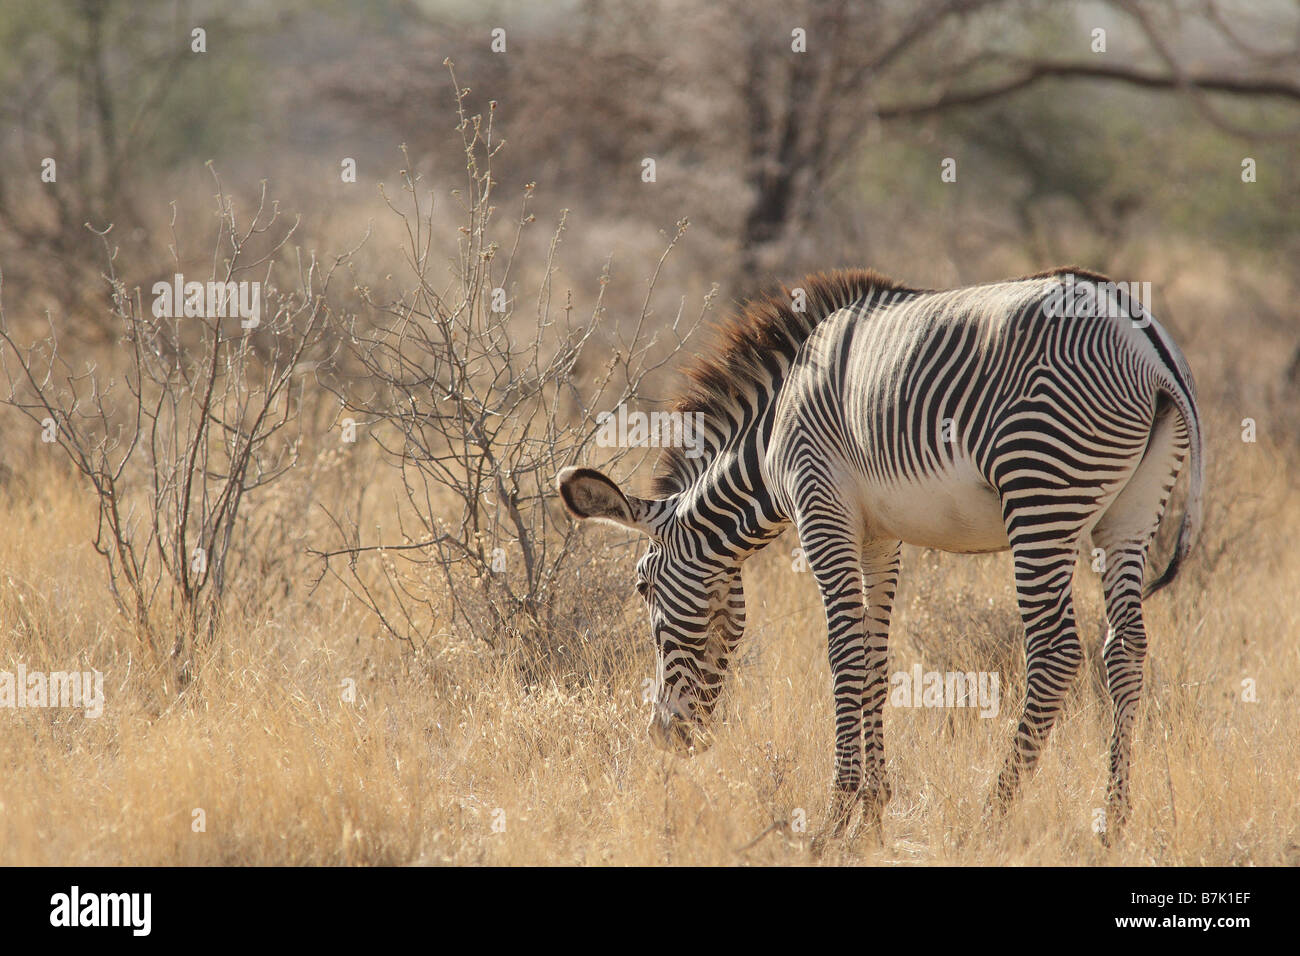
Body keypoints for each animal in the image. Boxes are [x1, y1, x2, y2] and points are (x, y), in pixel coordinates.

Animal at [558, 267, 1203, 841]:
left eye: (642, 586)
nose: (667, 738)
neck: (771, 435)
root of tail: (1143, 337)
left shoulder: (822, 508)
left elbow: (843, 653)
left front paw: (835, 818)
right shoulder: (878, 536)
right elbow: (875, 655)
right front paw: (871, 815)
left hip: (1041, 490)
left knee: (1055, 652)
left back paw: (992, 817)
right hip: (1130, 513)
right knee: (1126, 649)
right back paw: (1113, 823)